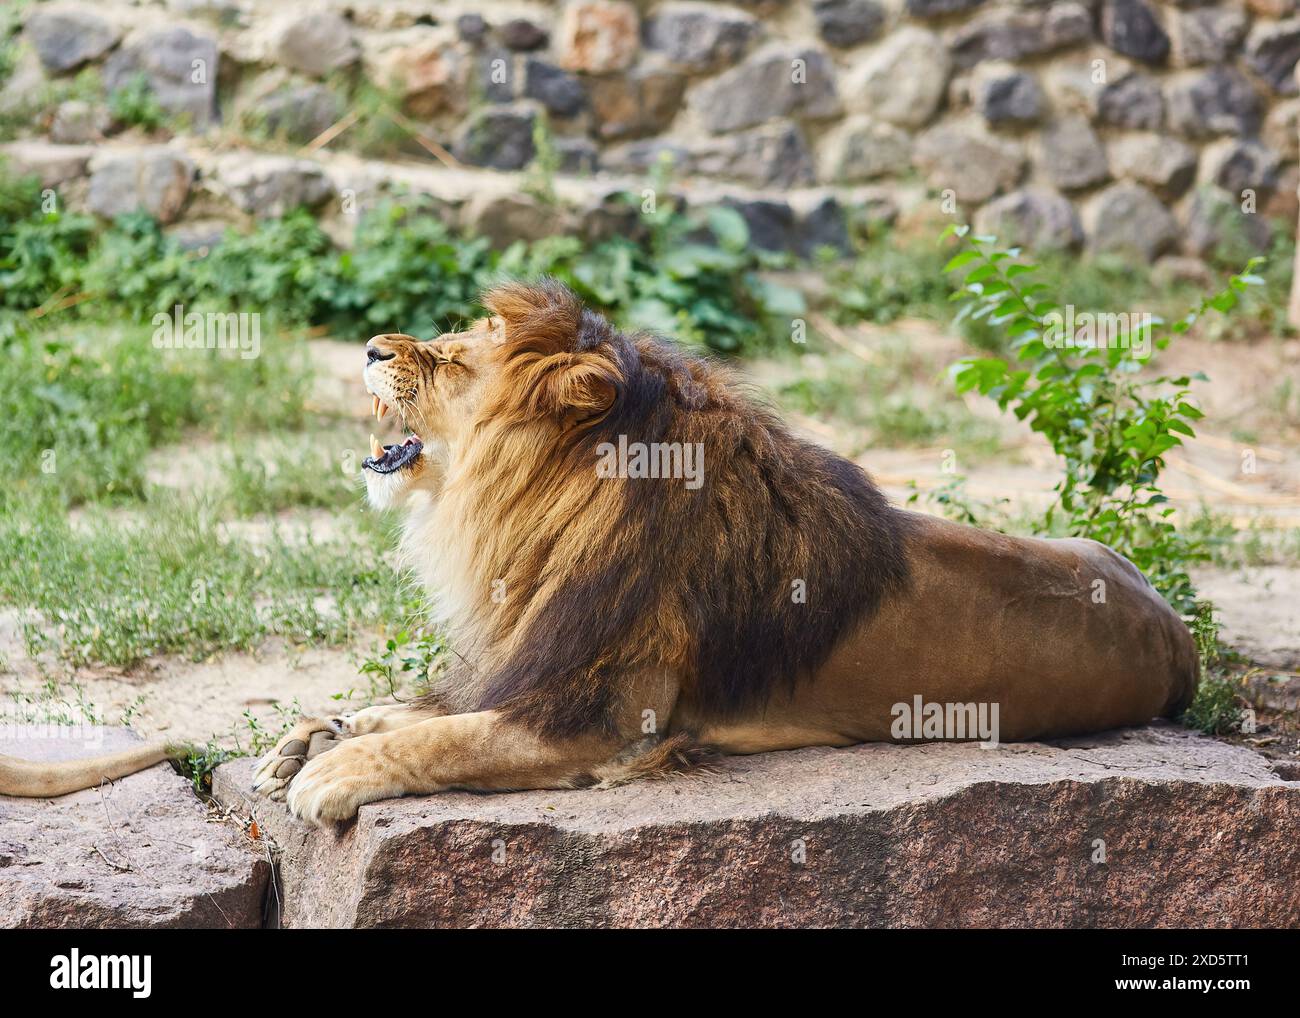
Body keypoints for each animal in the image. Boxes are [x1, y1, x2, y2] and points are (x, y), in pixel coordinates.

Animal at [1, 281, 1197, 821]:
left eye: (452, 358)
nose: (374, 345)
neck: (518, 511)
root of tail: (1182, 640)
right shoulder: (520, 657)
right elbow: (407, 707)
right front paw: (313, 733)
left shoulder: (606, 718)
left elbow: (439, 738)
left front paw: (334, 771)